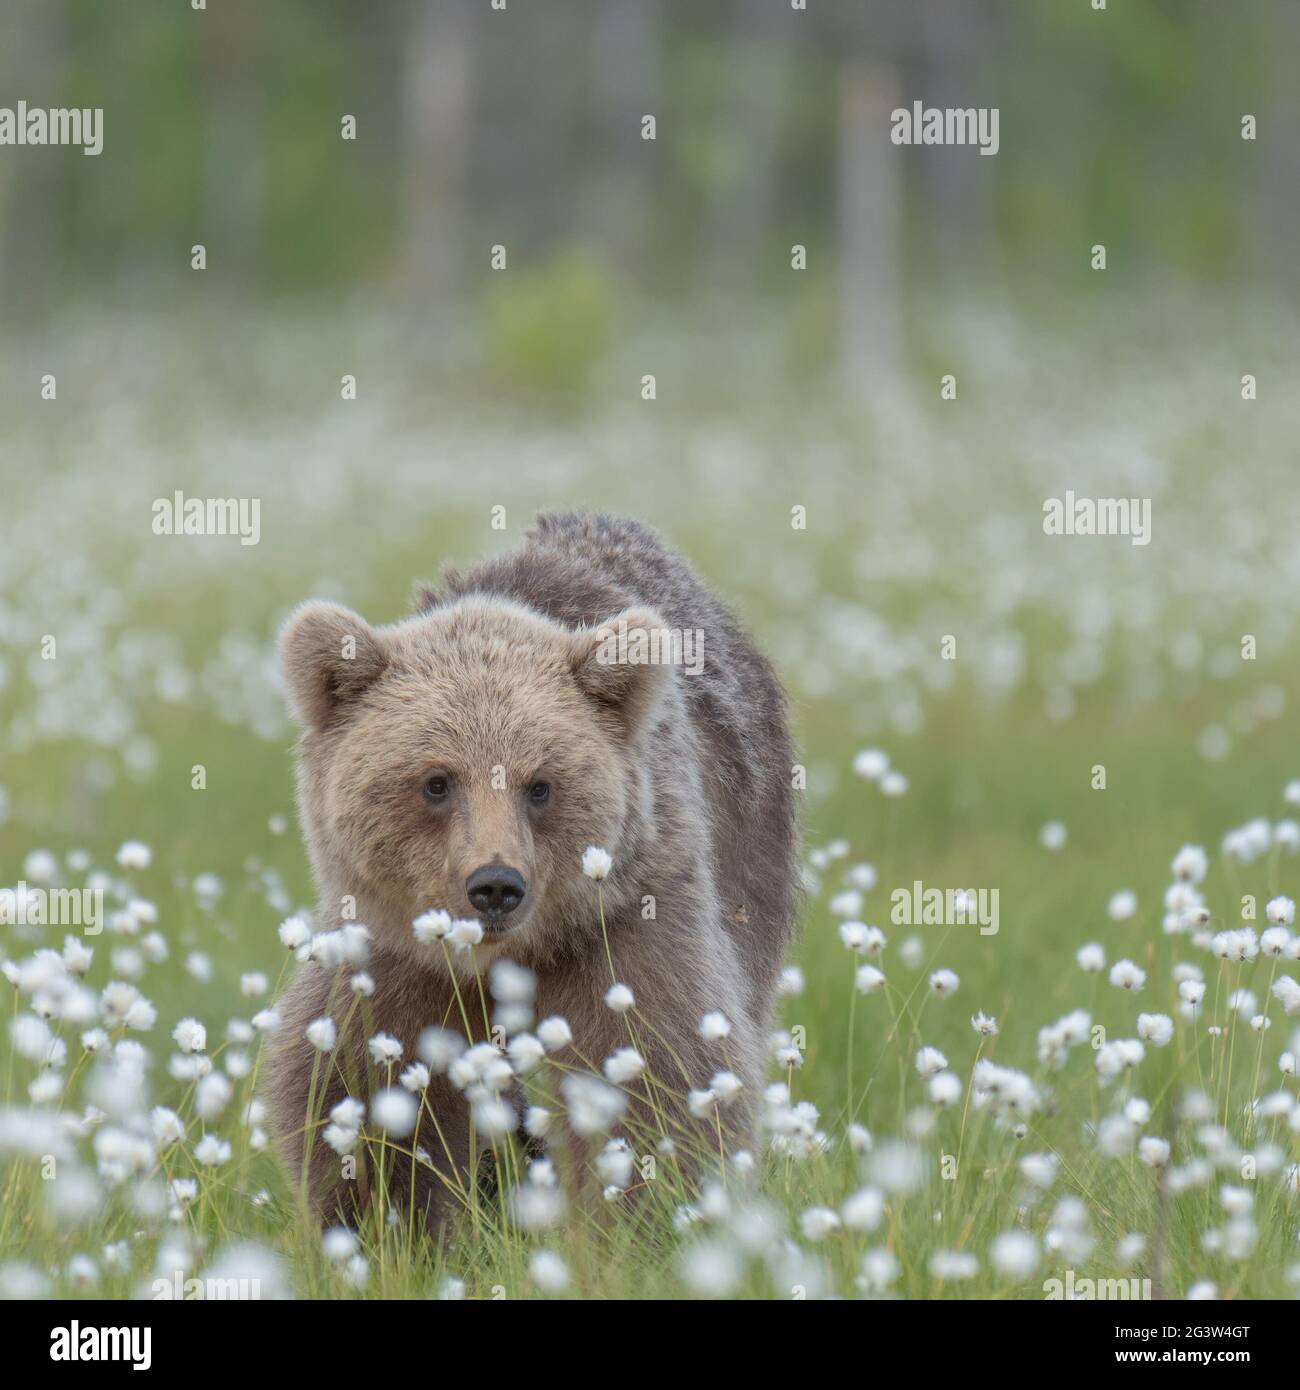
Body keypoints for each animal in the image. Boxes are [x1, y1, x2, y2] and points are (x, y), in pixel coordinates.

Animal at [265, 512, 798, 1226]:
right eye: (437, 782)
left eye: (539, 785)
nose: (495, 886)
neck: (502, 959)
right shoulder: (395, 957)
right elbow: (368, 1092)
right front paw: (386, 1225)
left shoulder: (624, 921)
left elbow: (657, 1077)